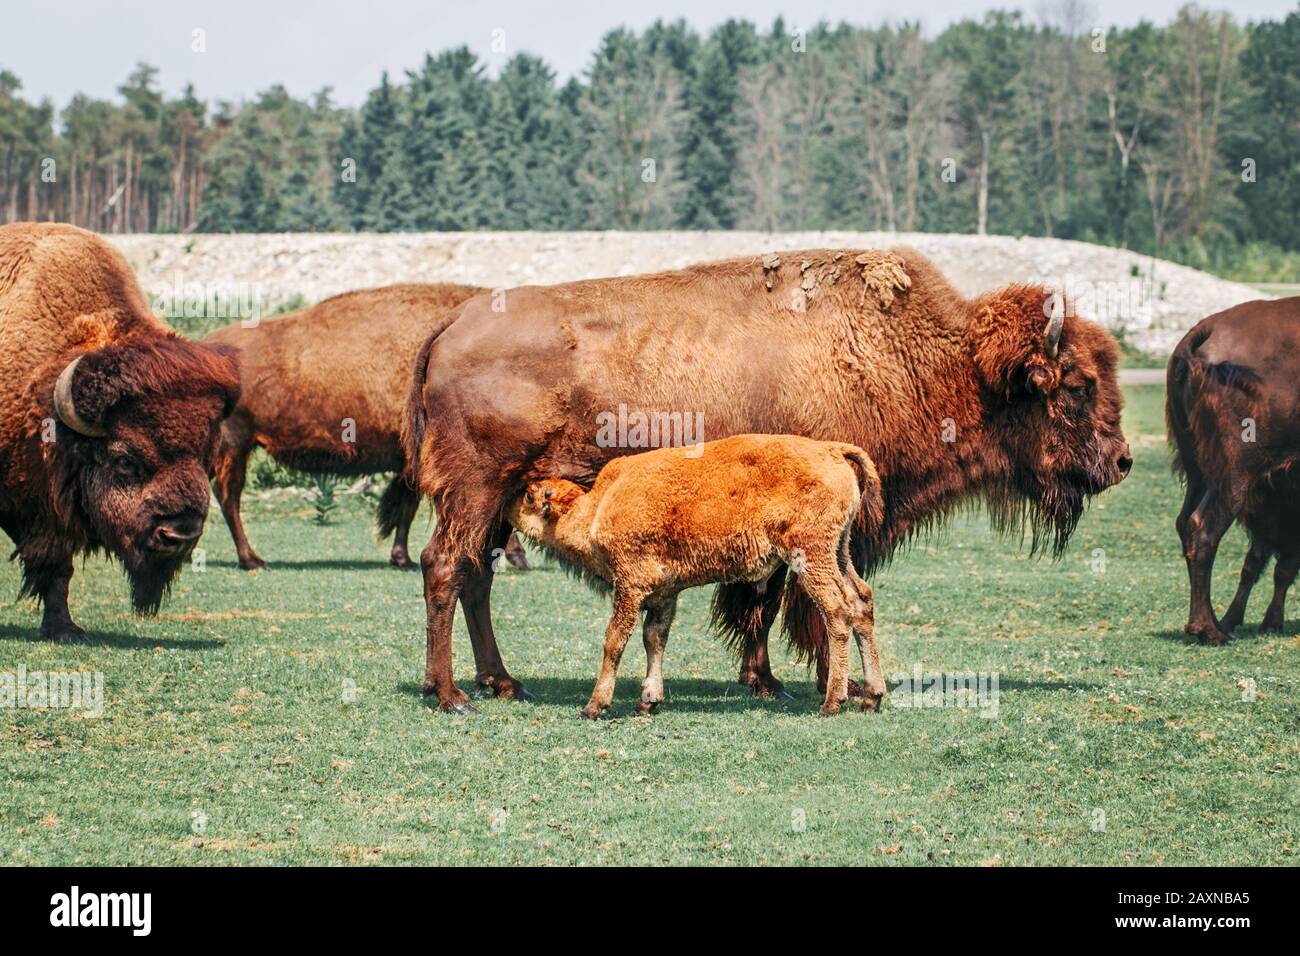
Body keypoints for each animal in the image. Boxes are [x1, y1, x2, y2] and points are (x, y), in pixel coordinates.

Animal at [0, 222, 240, 640]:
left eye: (204, 455)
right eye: (124, 459)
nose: (179, 534)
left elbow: (59, 570)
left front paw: (64, 628)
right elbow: (54, 564)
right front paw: (63, 630)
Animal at [204, 284, 528, 571]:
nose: (522, 559)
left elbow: (404, 508)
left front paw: (401, 557)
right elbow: (411, 508)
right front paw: (405, 560)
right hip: (234, 446)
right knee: (229, 497)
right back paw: (252, 560)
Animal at [405, 247, 1132, 713]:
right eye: (1076, 385)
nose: (1122, 460)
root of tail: (453, 324)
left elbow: (767, 597)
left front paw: (774, 679)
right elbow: (780, 599)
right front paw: (805, 682)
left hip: (499, 497)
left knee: (477, 574)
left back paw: (502, 683)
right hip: (474, 488)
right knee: (445, 567)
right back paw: (452, 695)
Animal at [1167, 296, 1300, 643]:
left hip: (1198, 469)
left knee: (1185, 523)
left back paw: (1213, 623)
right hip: (1234, 475)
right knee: (1204, 528)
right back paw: (1209, 631)